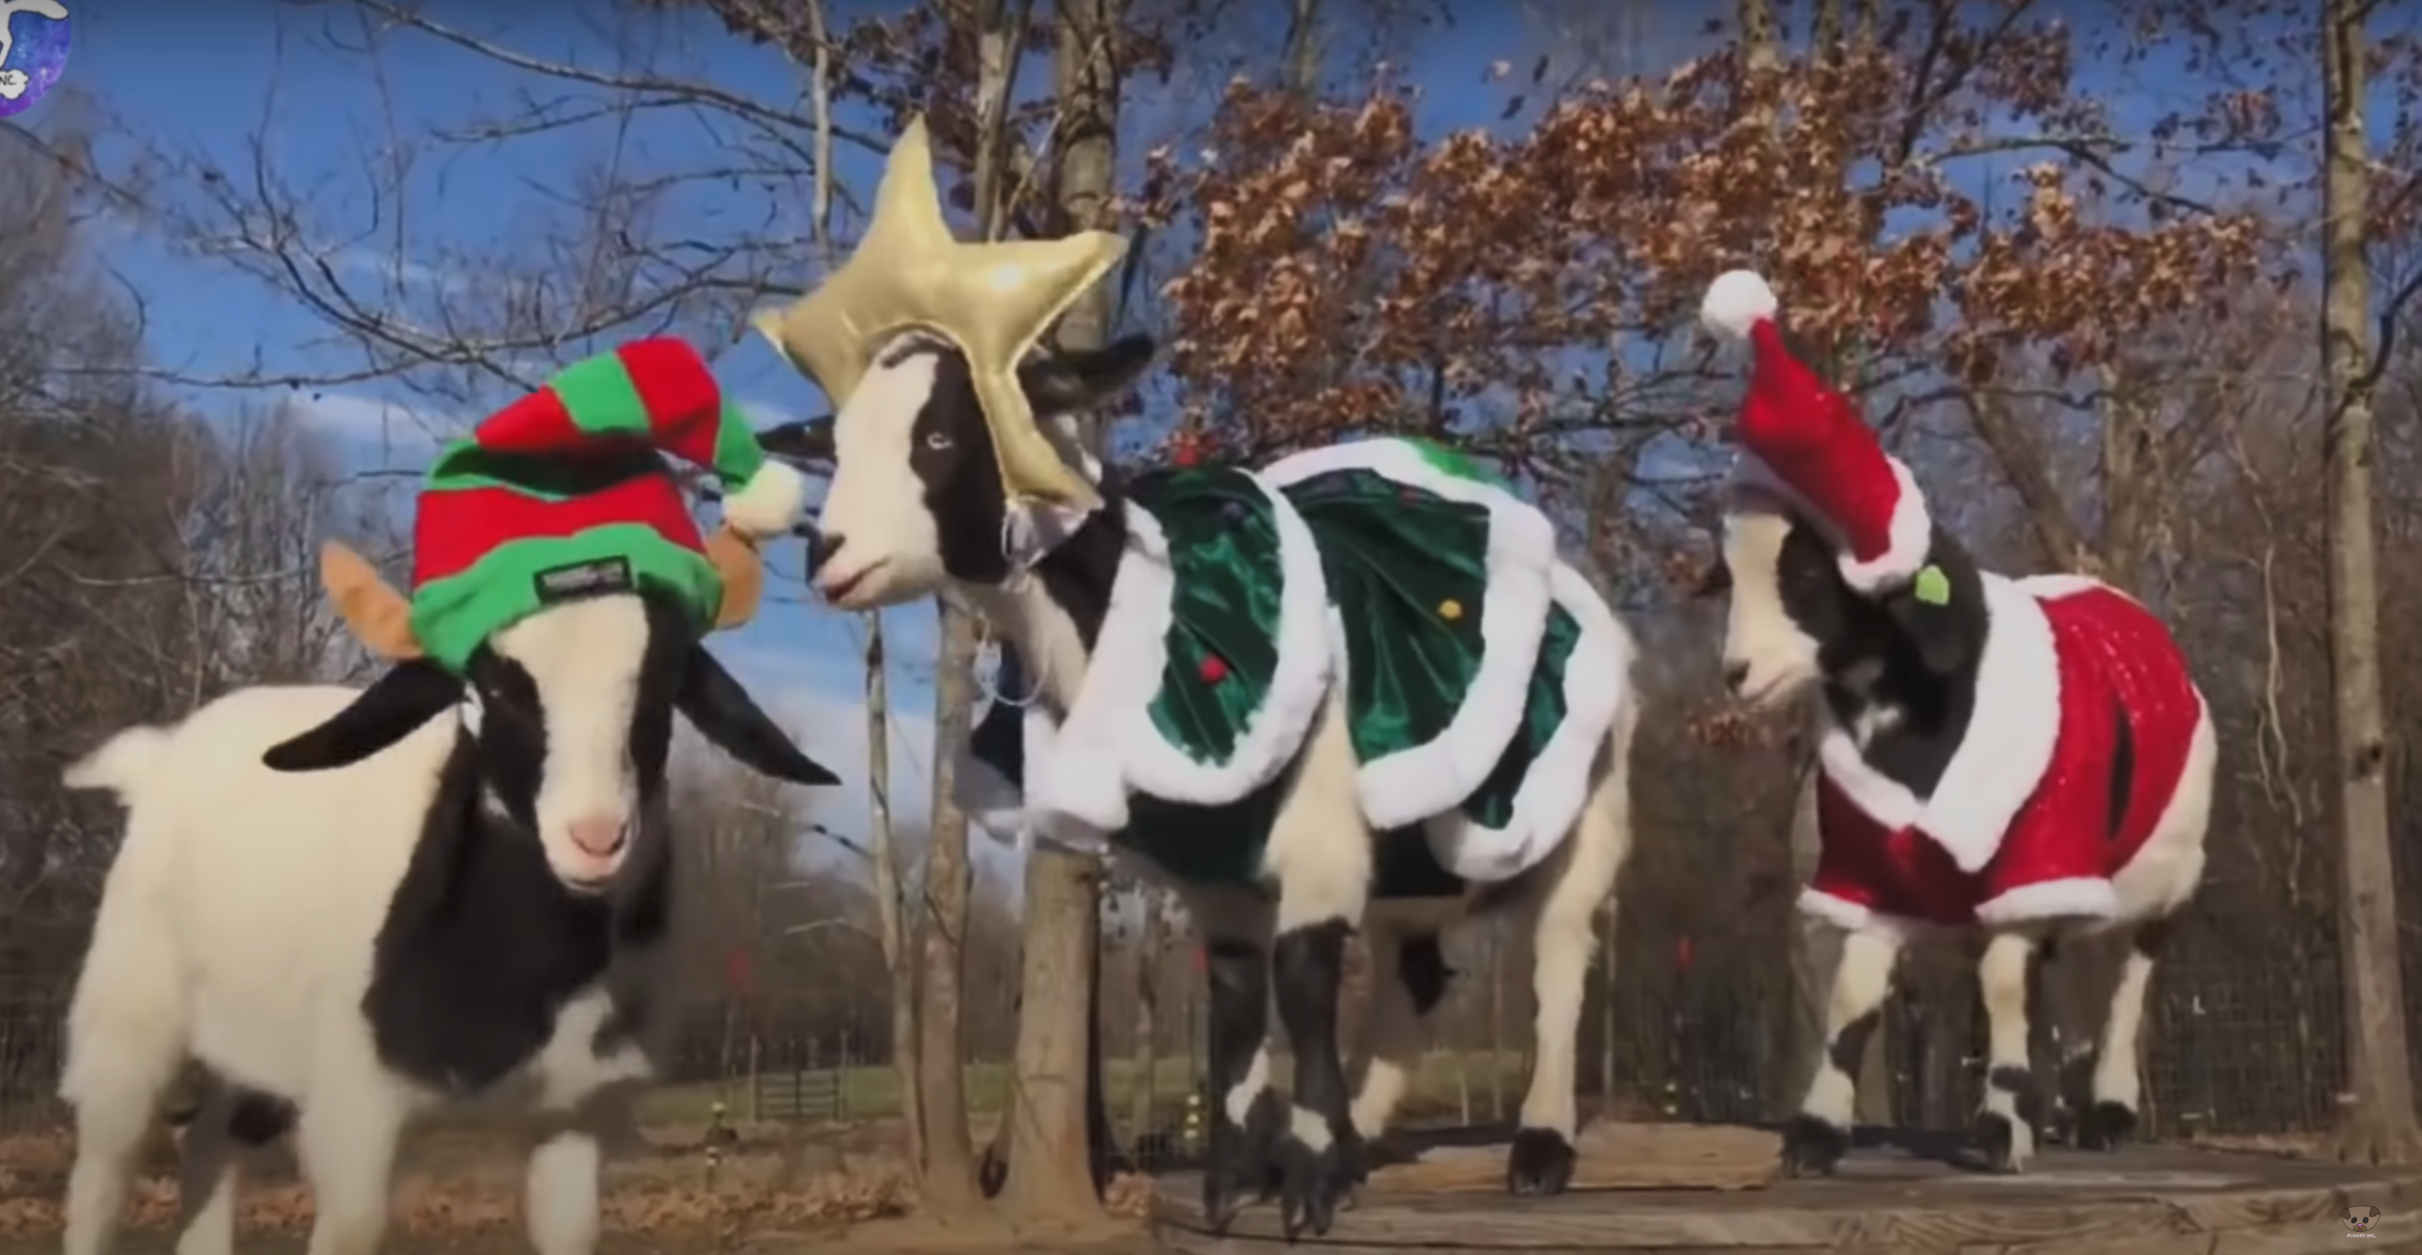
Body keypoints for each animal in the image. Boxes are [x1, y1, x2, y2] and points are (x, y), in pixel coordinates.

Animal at [752, 118, 1638, 1237]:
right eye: (836, 441)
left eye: (945, 433)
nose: (828, 555)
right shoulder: (1216, 868)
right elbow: (1232, 1007)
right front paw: (1242, 1179)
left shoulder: (1316, 831)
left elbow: (1301, 982)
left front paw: (1302, 1181)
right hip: (1416, 855)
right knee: (1417, 978)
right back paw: (1361, 1140)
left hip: (1590, 802)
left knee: (1560, 956)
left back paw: (1537, 1146)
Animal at [1695, 270, 2216, 1175]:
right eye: (1729, 575)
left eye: (1807, 572)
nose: (1739, 674)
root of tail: (2122, 603)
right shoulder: (1866, 864)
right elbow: (1855, 992)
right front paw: (1816, 1131)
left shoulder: (2034, 849)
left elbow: (2001, 983)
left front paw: (1999, 1125)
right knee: (2065, 967)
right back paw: (2059, 1108)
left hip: (2165, 860)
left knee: (2131, 970)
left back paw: (2106, 1109)